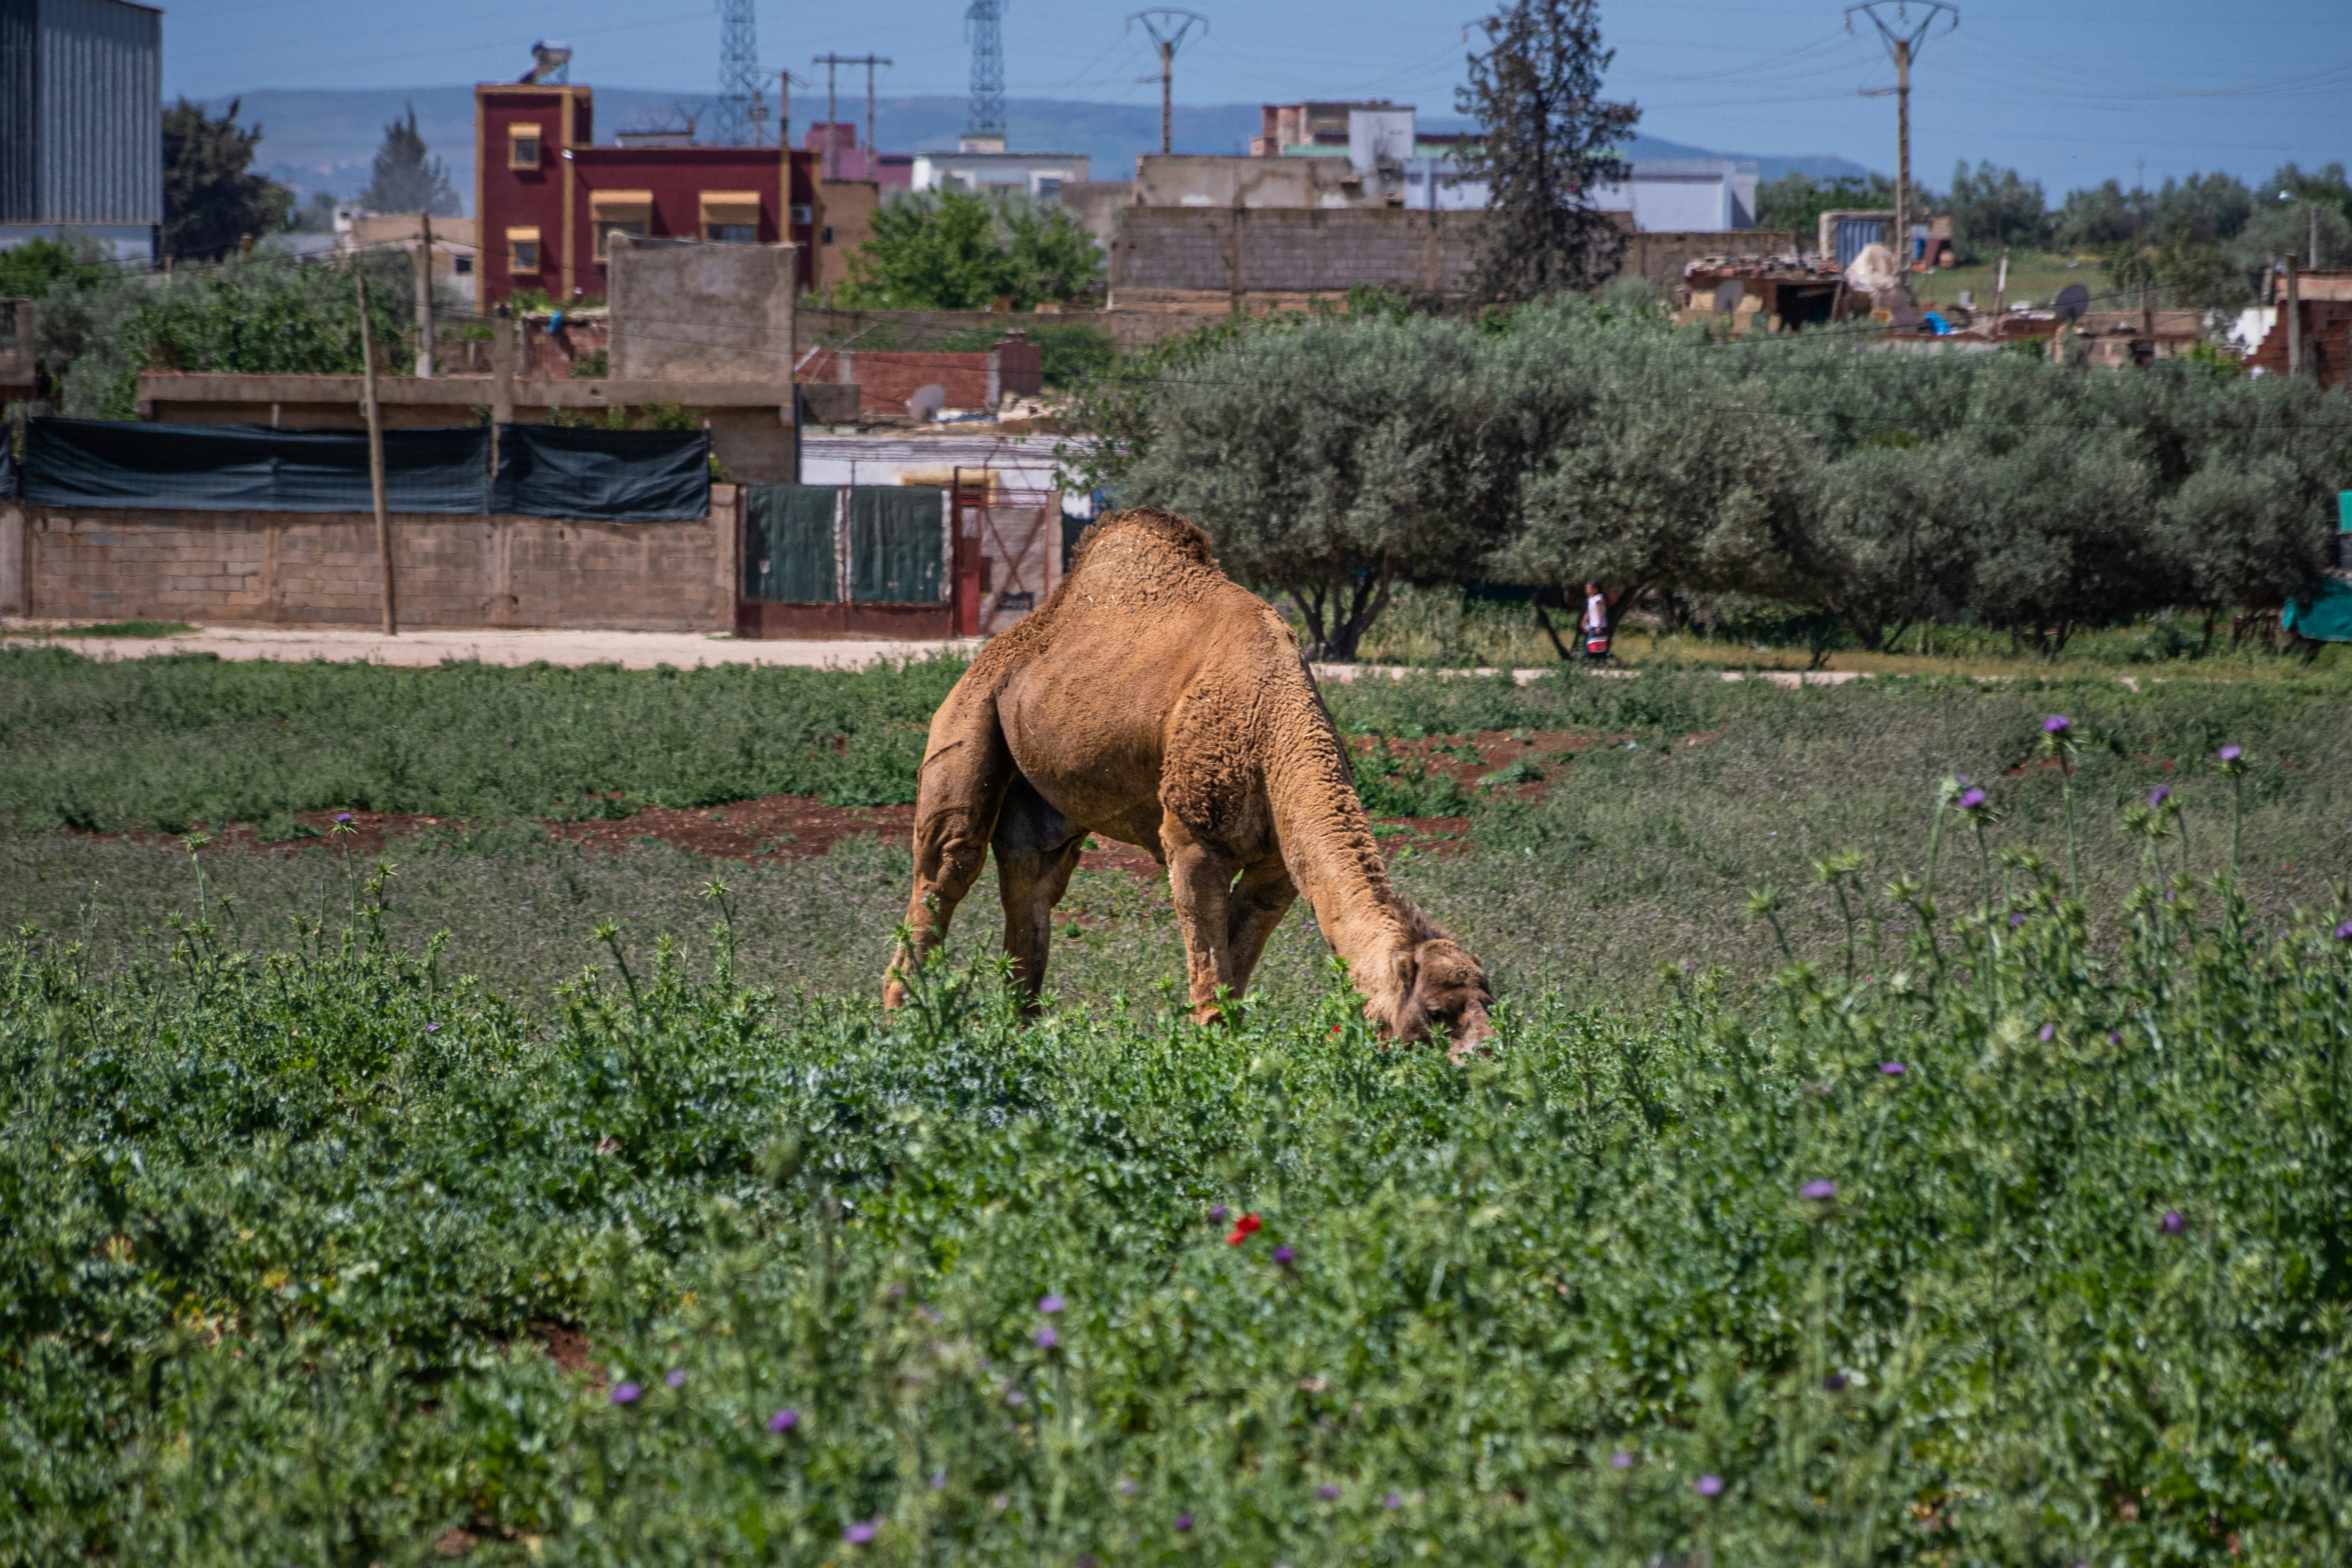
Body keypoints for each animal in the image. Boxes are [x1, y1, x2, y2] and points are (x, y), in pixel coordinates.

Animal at [882, 507, 1495, 1059]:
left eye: (1490, 1001)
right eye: (1435, 1013)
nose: (1488, 1054)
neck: (1275, 718)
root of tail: (995, 649)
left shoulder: (1277, 865)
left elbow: (1236, 962)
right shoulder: (1194, 837)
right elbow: (1210, 968)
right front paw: (1210, 1060)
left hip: (1044, 796)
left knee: (1032, 882)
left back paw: (1019, 1032)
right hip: (968, 719)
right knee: (948, 864)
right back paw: (901, 1024)